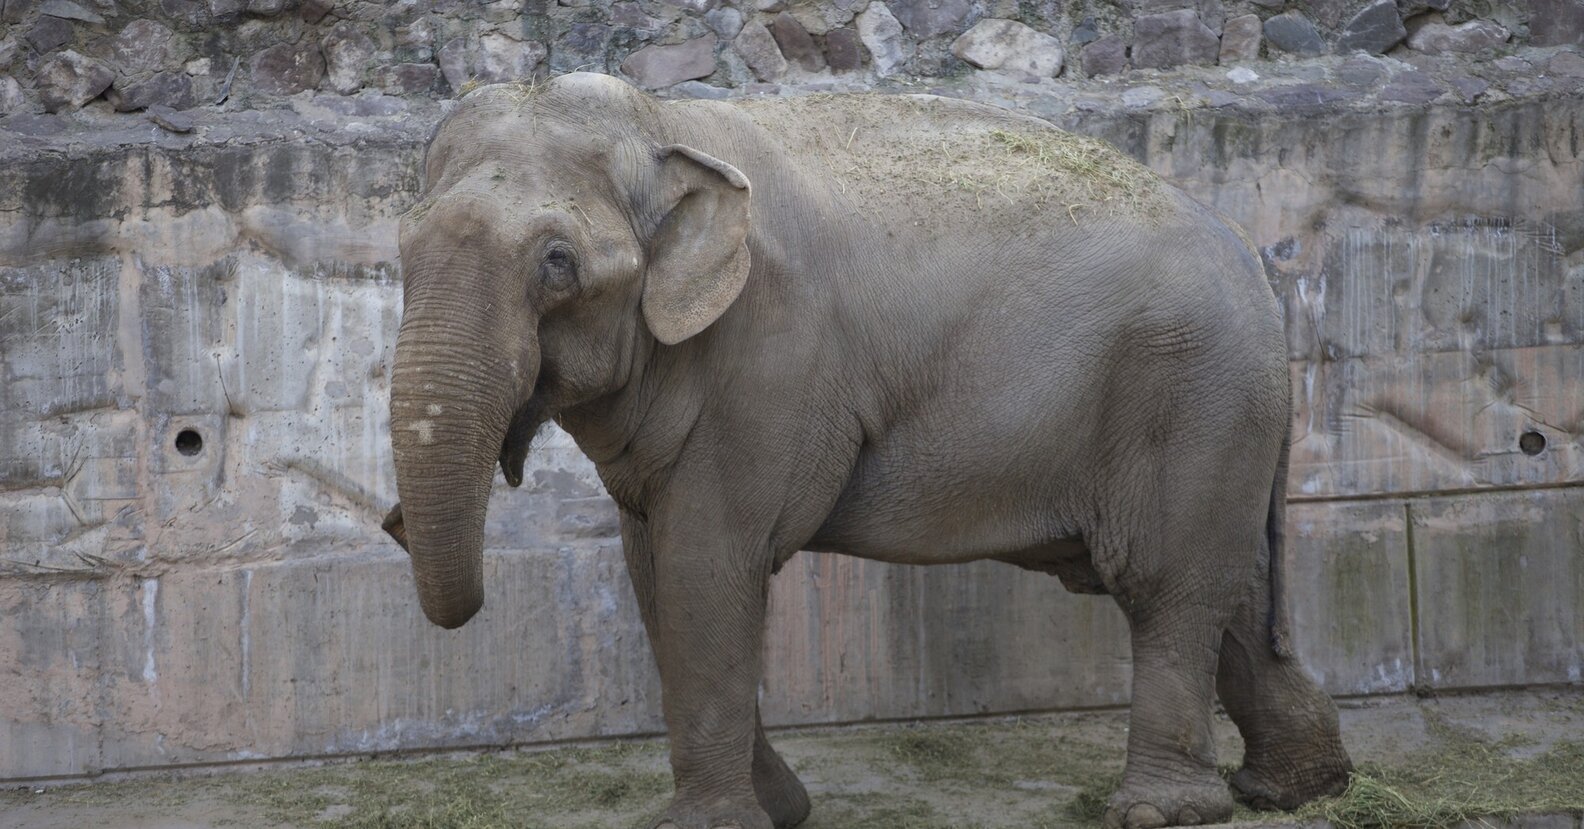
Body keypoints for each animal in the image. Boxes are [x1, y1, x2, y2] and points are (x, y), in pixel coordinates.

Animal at [380, 72, 1353, 829]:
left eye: (557, 261)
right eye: (401, 247)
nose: (392, 520)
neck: (667, 123)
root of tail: (1255, 257)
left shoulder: (769, 361)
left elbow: (708, 566)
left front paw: (716, 822)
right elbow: (656, 573)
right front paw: (781, 810)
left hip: (1191, 390)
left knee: (1167, 586)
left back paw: (1165, 809)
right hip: (1220, 412)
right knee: (1235, 585)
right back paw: (1295, 790)